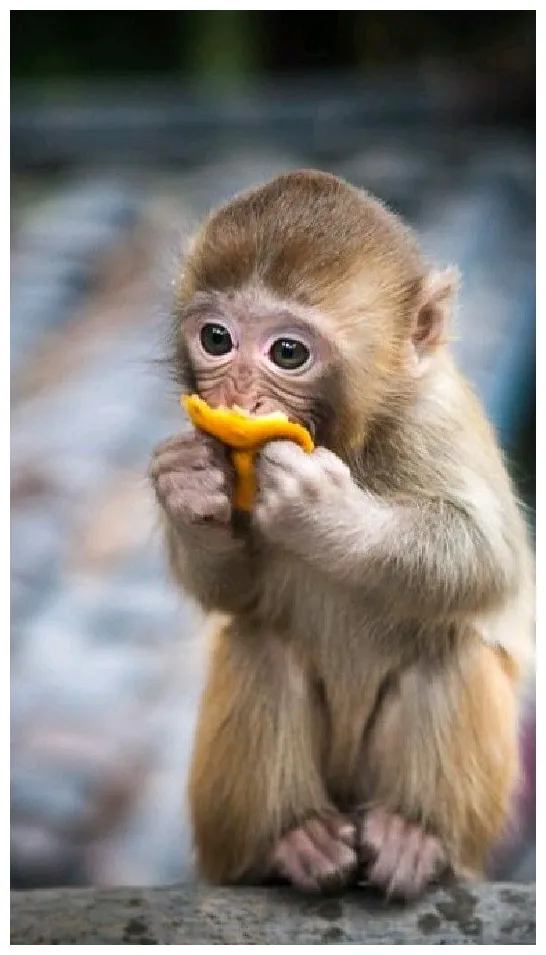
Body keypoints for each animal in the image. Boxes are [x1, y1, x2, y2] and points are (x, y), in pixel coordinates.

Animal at [150, 169, 535, 899]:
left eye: (288, 352)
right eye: (216, 338)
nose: (236, 396)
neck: (349, 441)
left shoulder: (436, 415)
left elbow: (490, 560)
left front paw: (324, 512)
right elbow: (233, 593)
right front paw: (190, 486)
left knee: (449, 647)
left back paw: (414, 837)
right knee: (263, 647)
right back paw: (291, 843)